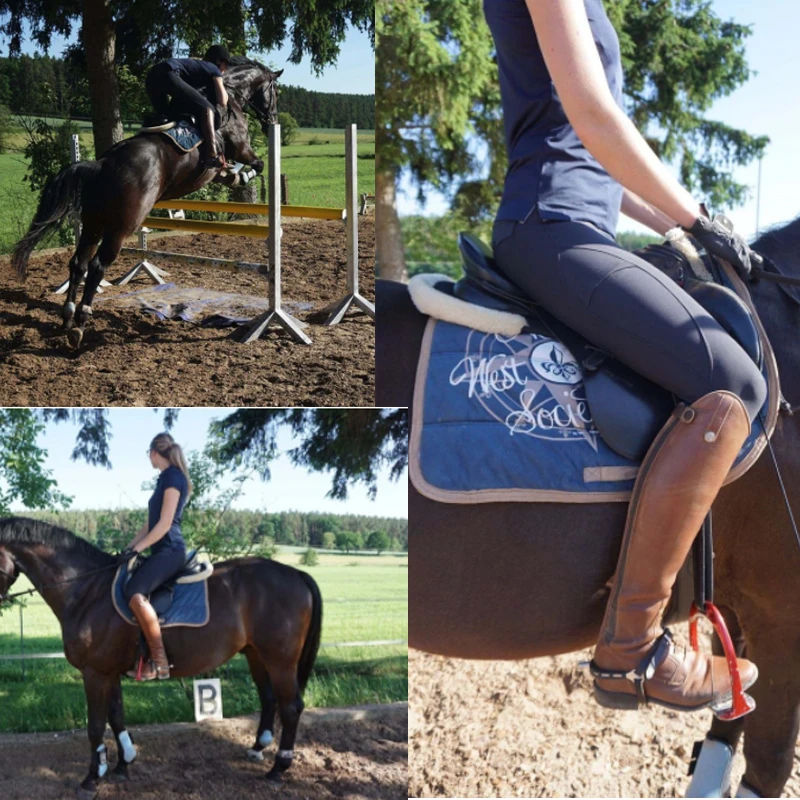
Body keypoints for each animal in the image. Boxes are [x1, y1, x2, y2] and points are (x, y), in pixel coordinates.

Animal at [0, 517, 322, 800]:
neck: (88, 591)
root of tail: (295, 574)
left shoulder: (95, 673)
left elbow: (96, 727)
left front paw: (92, 778)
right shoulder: (109, 672)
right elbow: (116, 716)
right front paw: (123, 763)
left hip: (280, 661)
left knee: (291, 707)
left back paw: (278, 769)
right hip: (257, 654)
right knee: (269, 698)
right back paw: (257, 749)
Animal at [10, 57, 282, 348]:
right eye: (275, 92)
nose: (271, 121)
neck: (231, 92)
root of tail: (101, 164)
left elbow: (230, 173)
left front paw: (235, 174)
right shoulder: (241, 147)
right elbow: (257, 163)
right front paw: (244, 174)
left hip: (93, 224)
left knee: (78, 263)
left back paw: (68, 316)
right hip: (121, 227)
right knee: (96, 266)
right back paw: (81, 322)